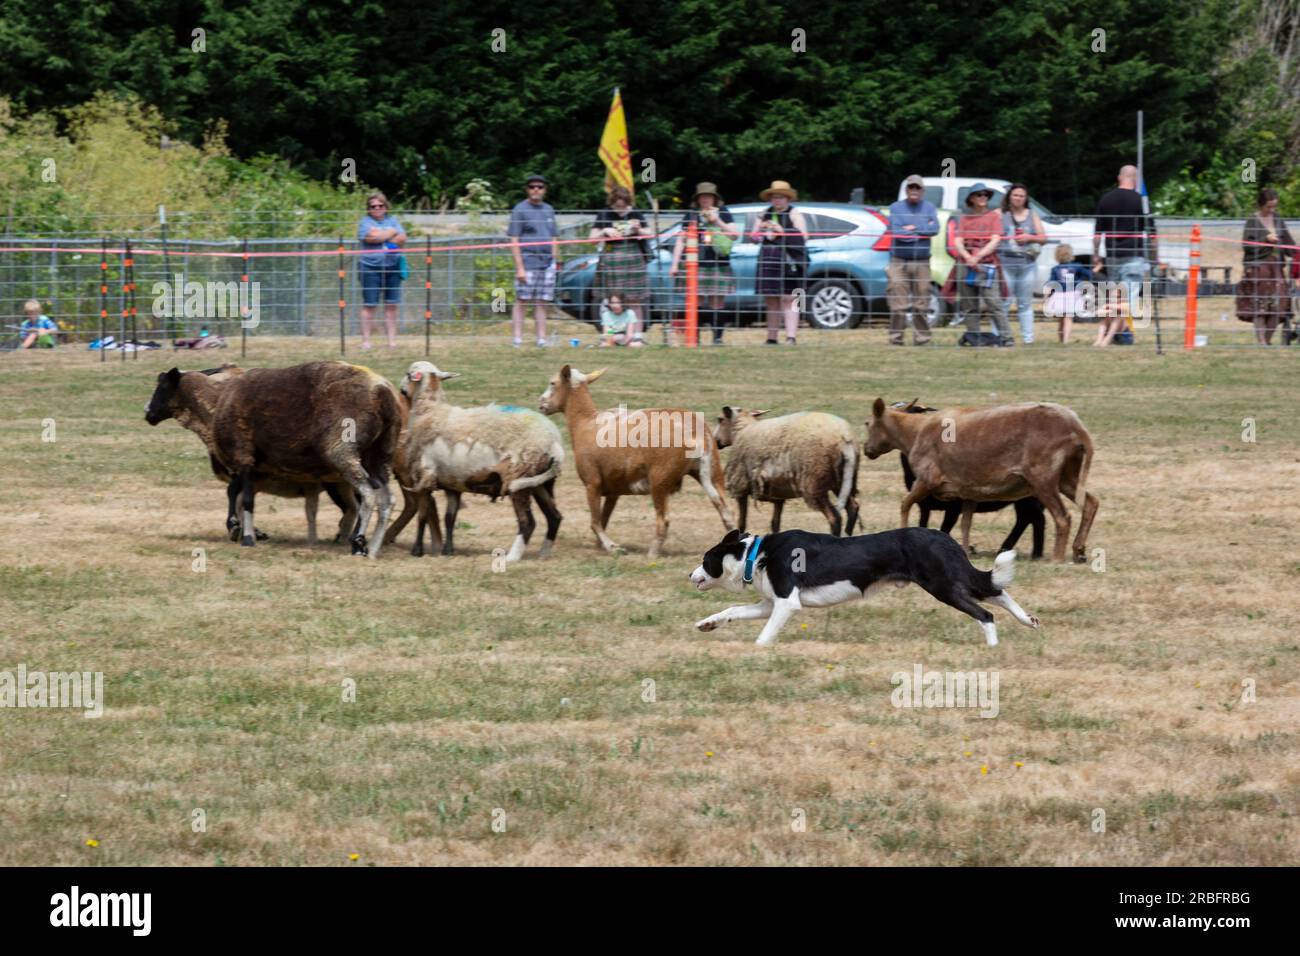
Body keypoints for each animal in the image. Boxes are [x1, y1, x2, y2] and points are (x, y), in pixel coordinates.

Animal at [145, 361, 401, 558]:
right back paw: (373, 548)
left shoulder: (244, 457)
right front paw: (243, 529)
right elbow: (238, 496)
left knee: (367, 494)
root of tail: (383, 391)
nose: (147, 413)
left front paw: (246, 535)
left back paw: (358, 542)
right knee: (386, 500)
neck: (216, 401)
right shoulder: (254, 467)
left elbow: (244, 499)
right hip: (379, 455)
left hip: (342, 451)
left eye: (163, 387)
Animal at [393, 361, 563, 561]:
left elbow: (422, 516)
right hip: (538, 482)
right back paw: (544, 553)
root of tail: (554, 441)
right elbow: (450, 518)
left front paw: (417, 550)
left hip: (519, 477)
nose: (401, 389)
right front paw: (448, 550)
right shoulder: (453, 484)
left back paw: (512, 557)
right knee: (554, 517)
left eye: (408, 374)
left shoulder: (424, 477)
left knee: (528, 522)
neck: (430, 411)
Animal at [538, 365, 733, 558]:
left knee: (664, 520)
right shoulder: (612, 490)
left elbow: (595, 522)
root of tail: (695, 430)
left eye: (552, 383)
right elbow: (604, 519)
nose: (541, 403)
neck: (585, 422)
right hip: (712, 473)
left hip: (660, 479)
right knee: (726, 512)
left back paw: (652, 554)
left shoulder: (592, 483)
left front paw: (612, 546)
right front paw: (600, 547)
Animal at [713, 407, 860, 536]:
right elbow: (775, 523)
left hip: (814, 483)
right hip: (840, 480)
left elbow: (742, 523)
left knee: (834, 518)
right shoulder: (778, 494)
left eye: (720, 419)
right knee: (853, 508)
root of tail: (845, 439)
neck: (741, 430)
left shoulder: (741, 486)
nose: (715, 441)